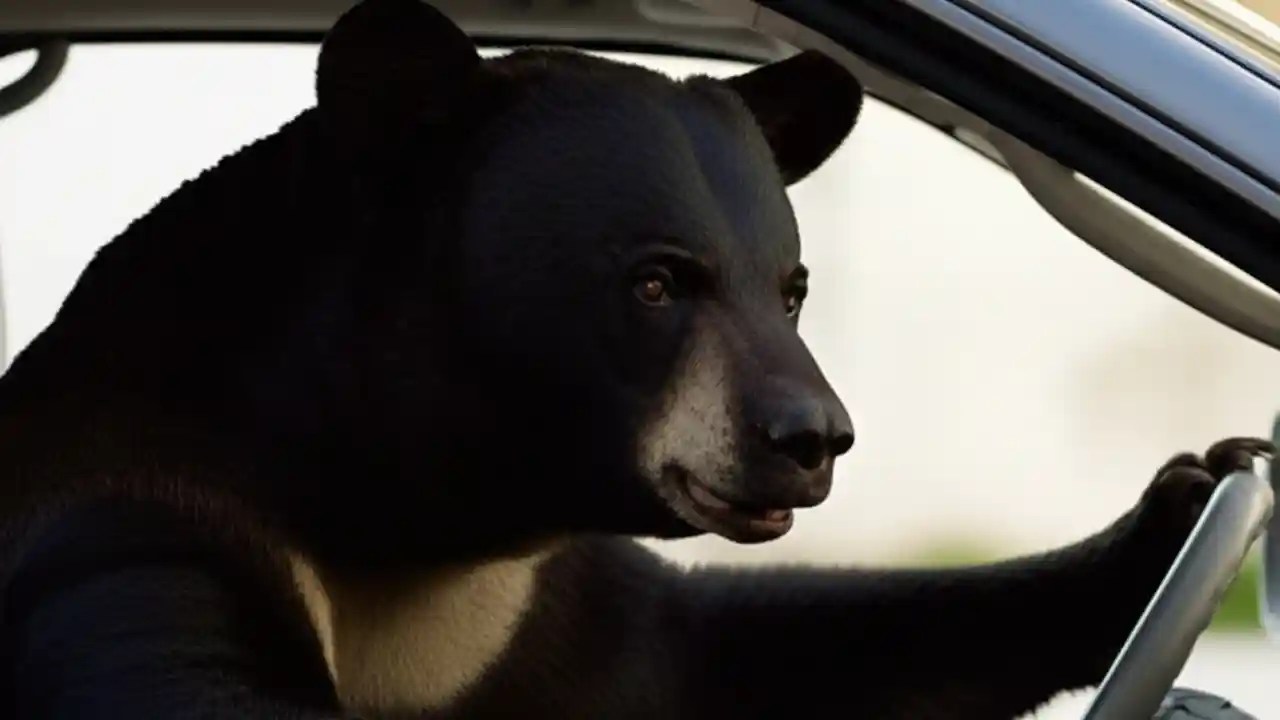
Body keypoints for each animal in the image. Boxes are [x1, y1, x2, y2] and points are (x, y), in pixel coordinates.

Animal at [0, 0, 1271, 718]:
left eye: (789, 286)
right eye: (657, 281)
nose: (810, 438)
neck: (397, 524)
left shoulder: (517, 615)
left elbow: (750, 648)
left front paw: (1170, 517)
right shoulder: (137, 514)